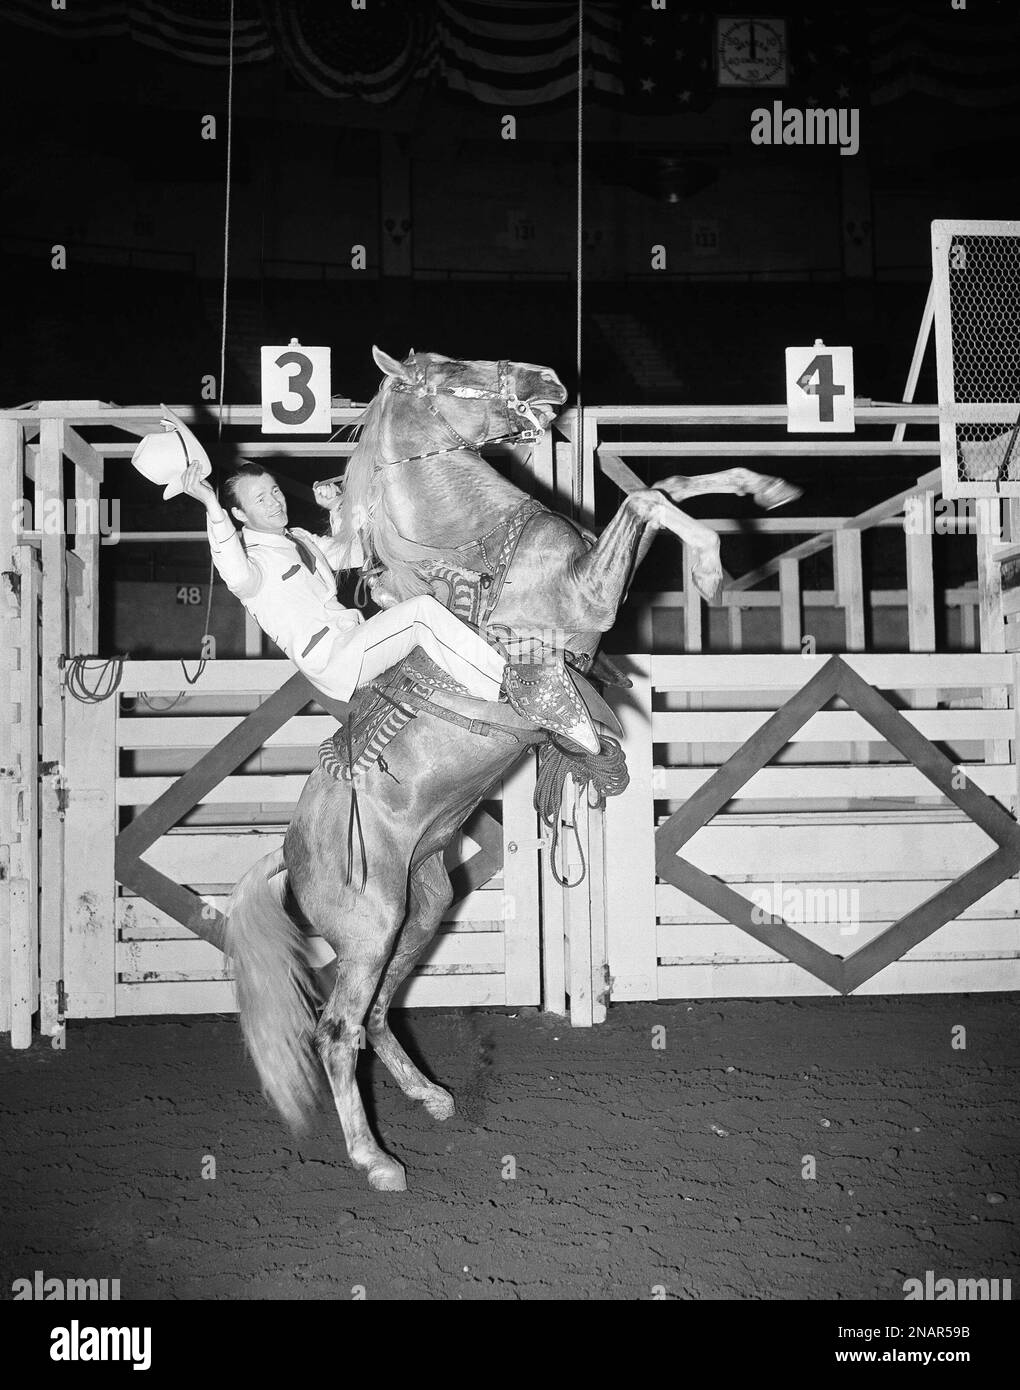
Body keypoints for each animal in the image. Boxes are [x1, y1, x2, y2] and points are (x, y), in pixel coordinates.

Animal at [224, 347, 801, 1191]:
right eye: (447, 369)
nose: (547, 379)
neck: (479, 544)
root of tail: (289, 850)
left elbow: (664, 485)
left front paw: (764, 487)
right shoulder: (589, 597)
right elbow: (652, 500)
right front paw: (708, 568)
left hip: (421, 907)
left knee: (374, 1012)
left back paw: (430, 1096)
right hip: (370, 925)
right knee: (336, 1028)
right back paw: (374, 1159)